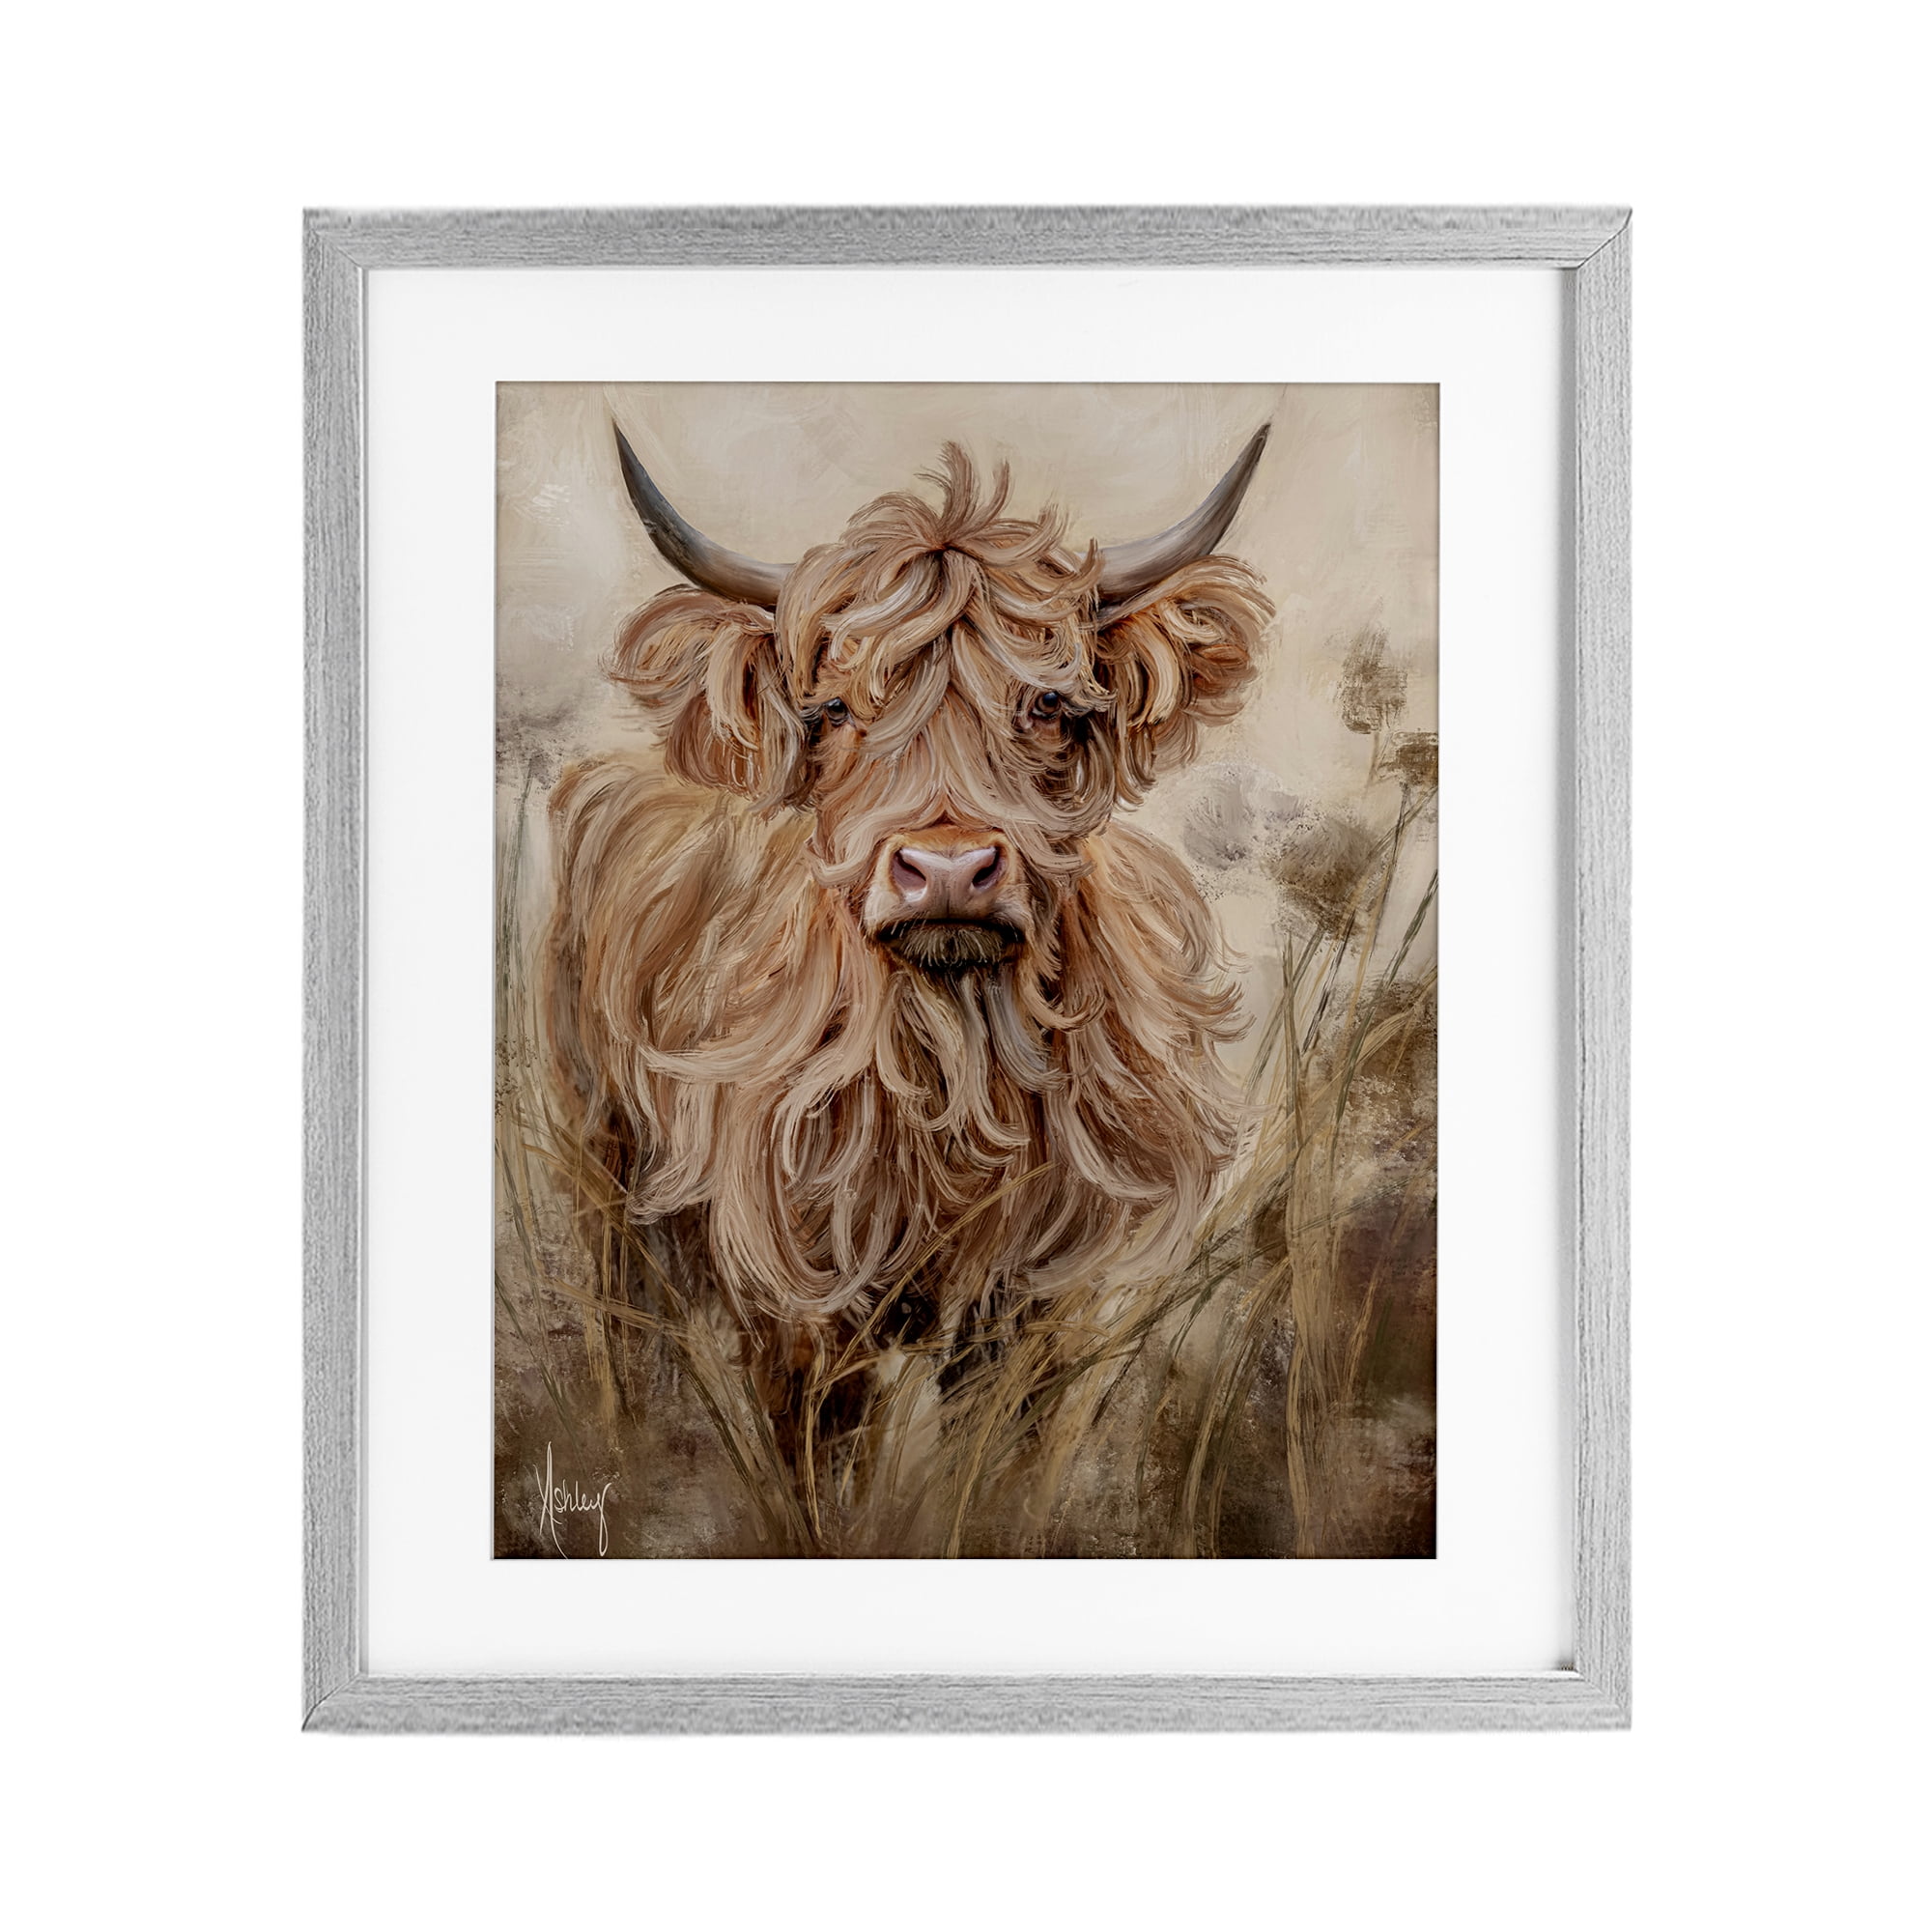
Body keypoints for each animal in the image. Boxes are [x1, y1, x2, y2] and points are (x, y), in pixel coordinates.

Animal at [542, 424, 1275, 1429]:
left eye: (1048, 703)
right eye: (832, 709)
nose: (948, 871)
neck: (954, 1077)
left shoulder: (1033, 1304)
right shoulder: (797, 1307)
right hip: (601, 1164)